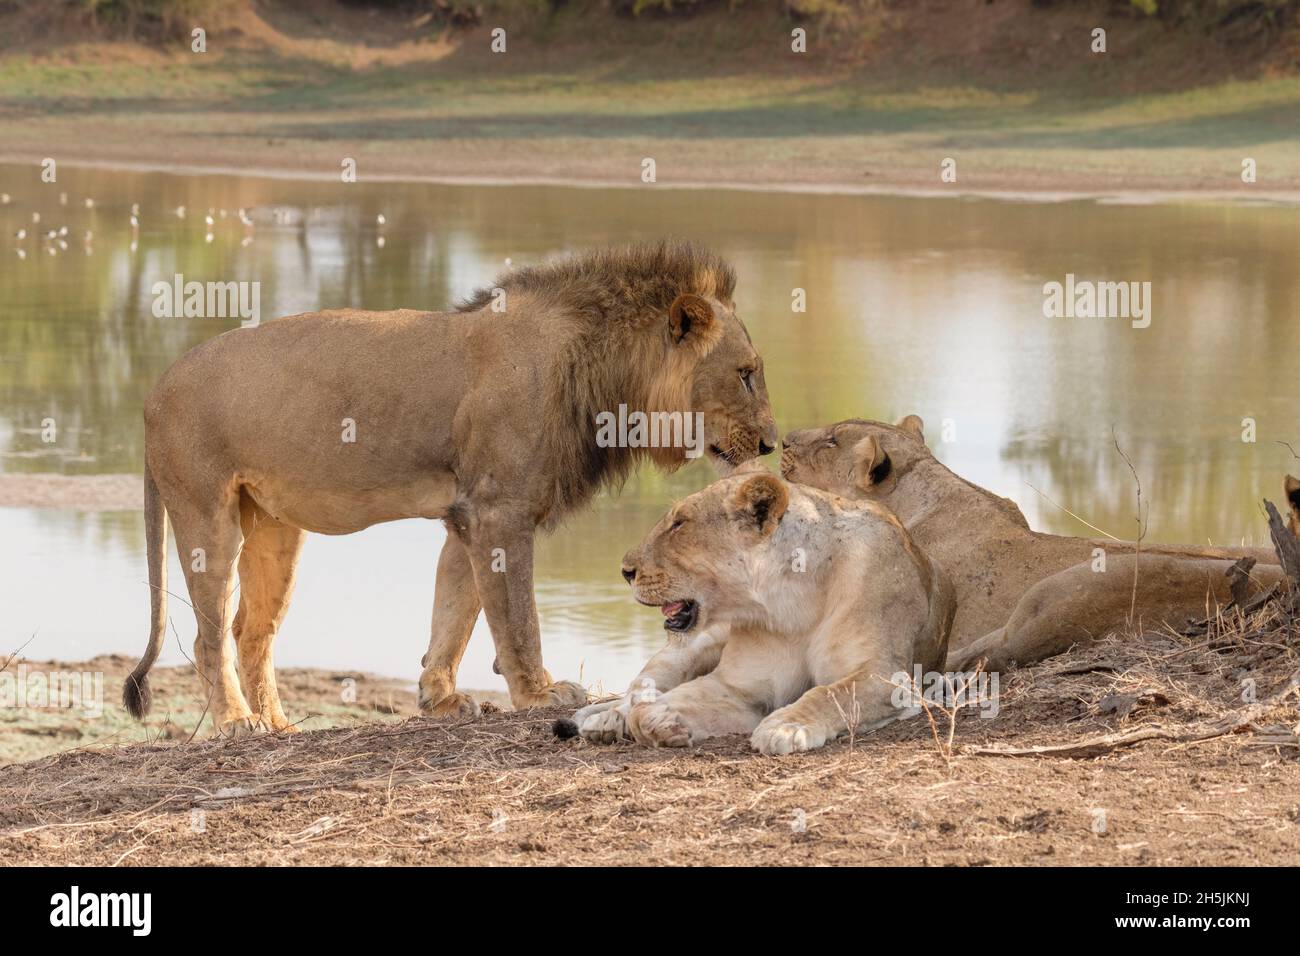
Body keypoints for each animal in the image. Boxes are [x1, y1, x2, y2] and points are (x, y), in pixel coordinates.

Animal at [123, 241, 778, 735]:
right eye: (746, 374)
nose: (772, 443)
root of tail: (153, 390)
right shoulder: (498, 510)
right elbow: (517, 618)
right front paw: (539, 695)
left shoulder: (469, 515)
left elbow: (455, 615)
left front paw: (439, 699)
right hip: (206, 515)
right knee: (209, 636)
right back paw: (238, 722)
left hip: (276, 530)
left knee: (251, 631)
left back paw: (279, 725)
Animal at [569, 465, 954, 754]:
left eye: (679, 523)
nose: (625, 570)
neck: (793, 606)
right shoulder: (739, 686)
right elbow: (656, 704)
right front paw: (659, 720)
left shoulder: (887, 677)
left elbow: (829, 693)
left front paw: (785, 726)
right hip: (686, 649)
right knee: (637, 690)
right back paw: (606, 720)